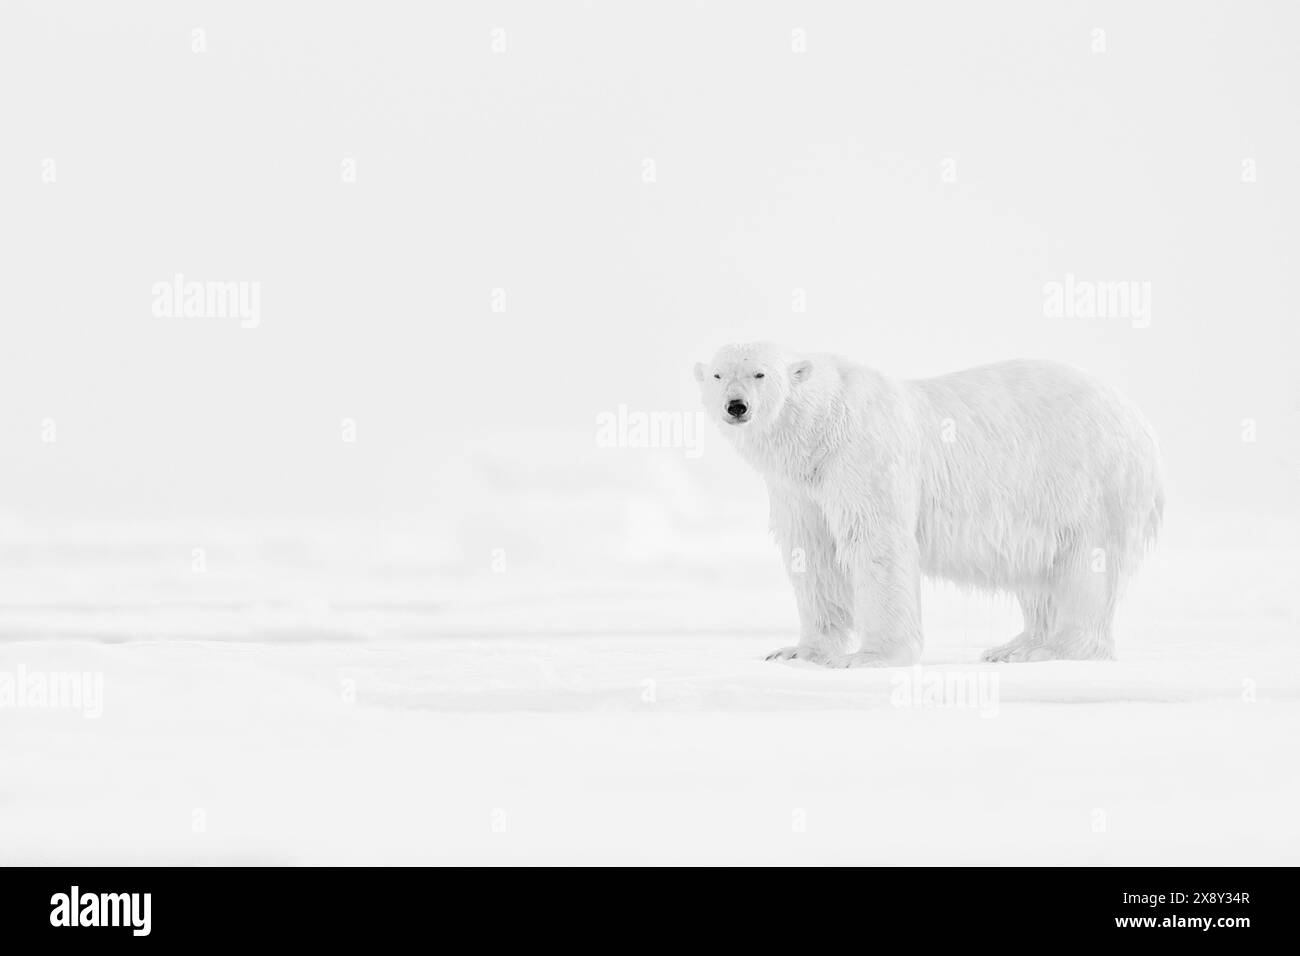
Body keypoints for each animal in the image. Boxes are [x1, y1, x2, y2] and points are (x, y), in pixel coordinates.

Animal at [693, 343, 1163, 666]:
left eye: (760, 374)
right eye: (717, 374)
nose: (736, 406)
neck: (819, 431)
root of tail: (1139, 421)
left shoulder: (863, 456)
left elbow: (877, 543)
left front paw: (871, 657)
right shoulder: (800, 490)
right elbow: (814, 555)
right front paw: (797, 652)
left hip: (1090, 481)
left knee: (1084, 570)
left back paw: (1052, 650)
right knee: (1038, 572)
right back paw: (1014, 646)